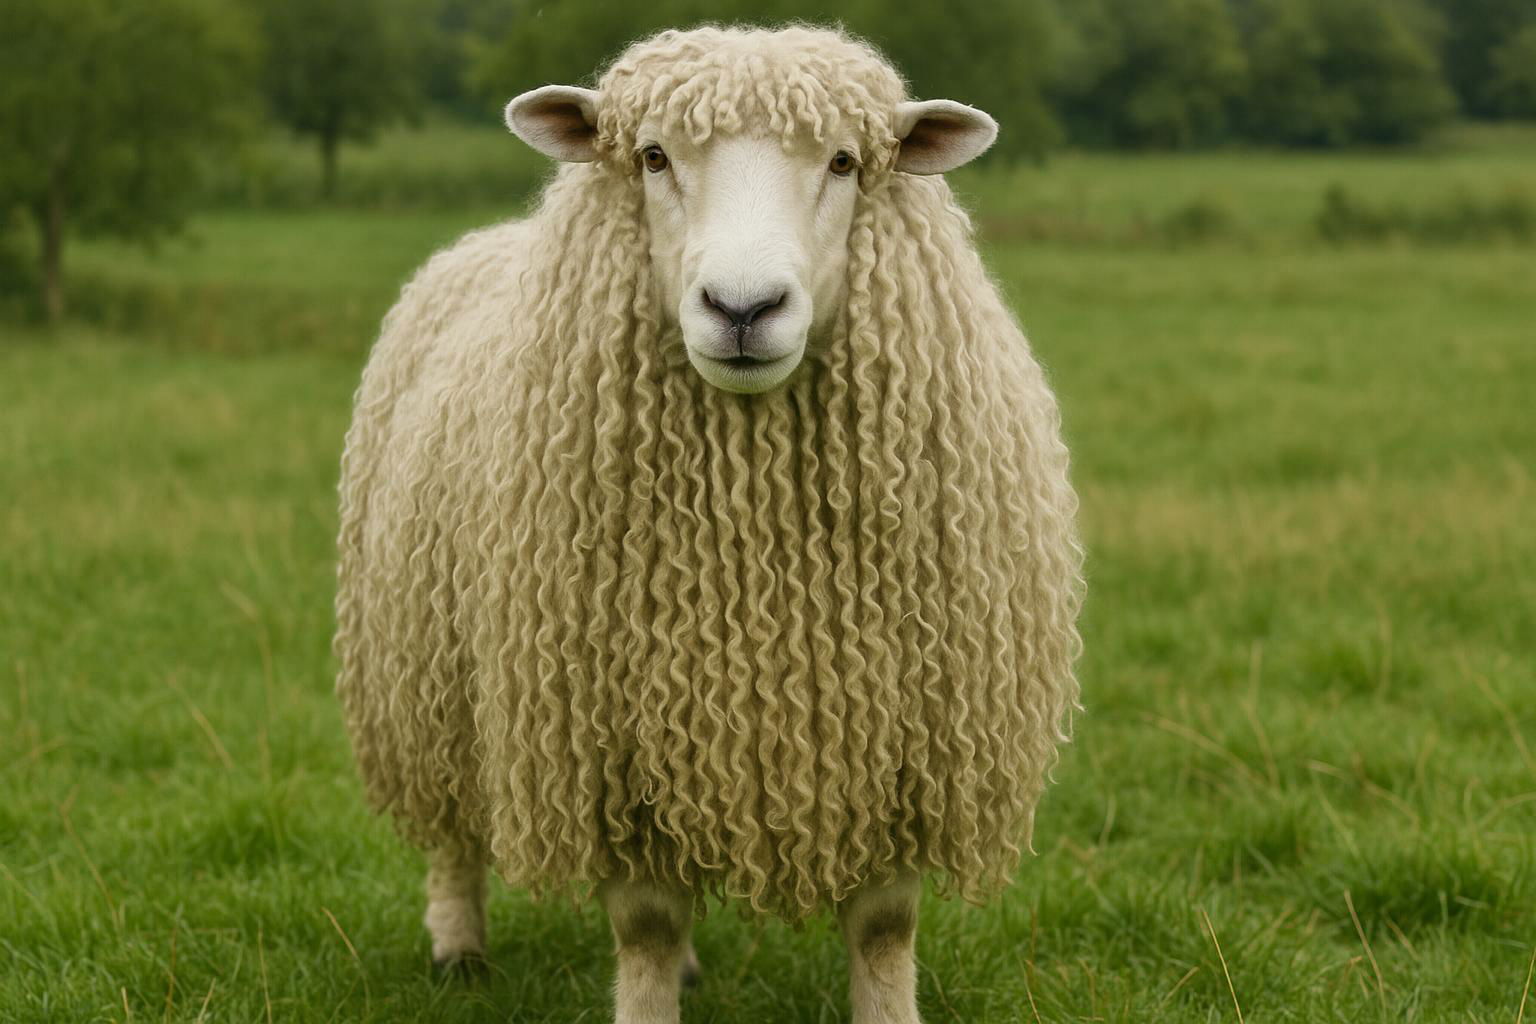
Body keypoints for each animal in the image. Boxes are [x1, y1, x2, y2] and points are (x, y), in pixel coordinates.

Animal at [334, 24, 1083, 1024]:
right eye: (653, 157)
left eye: (844, 162)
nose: (742, 308)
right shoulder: (611, 735)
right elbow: (647, 923)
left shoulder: (898, 728)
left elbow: (884, 926)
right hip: (428, 676)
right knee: (452, 822)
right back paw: (459, 949)